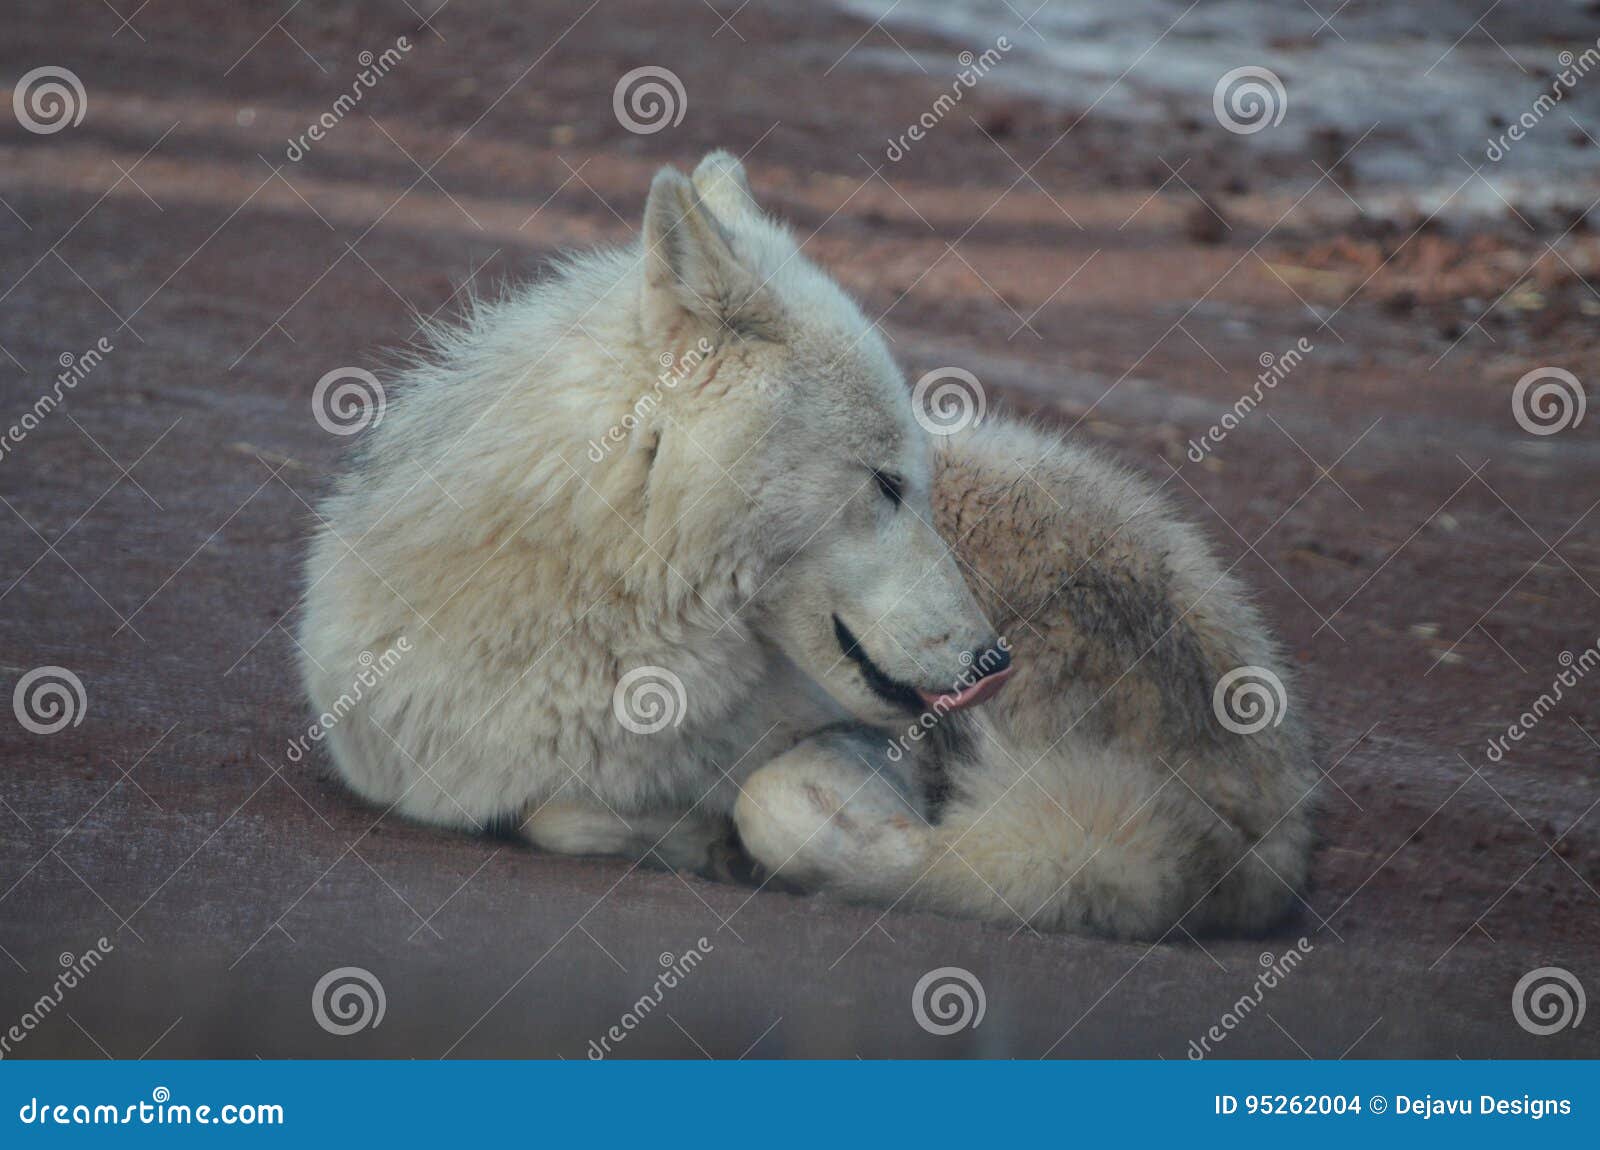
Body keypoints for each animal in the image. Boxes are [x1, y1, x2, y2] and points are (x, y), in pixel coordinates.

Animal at [299, 151, 1315, 939]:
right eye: (886, 484)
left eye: (916, 484)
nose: (994, 661)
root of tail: (1284, 792)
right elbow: (563, 815)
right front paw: (684, 838)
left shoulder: (891, 749)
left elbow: (787, 808)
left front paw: (748, 842)